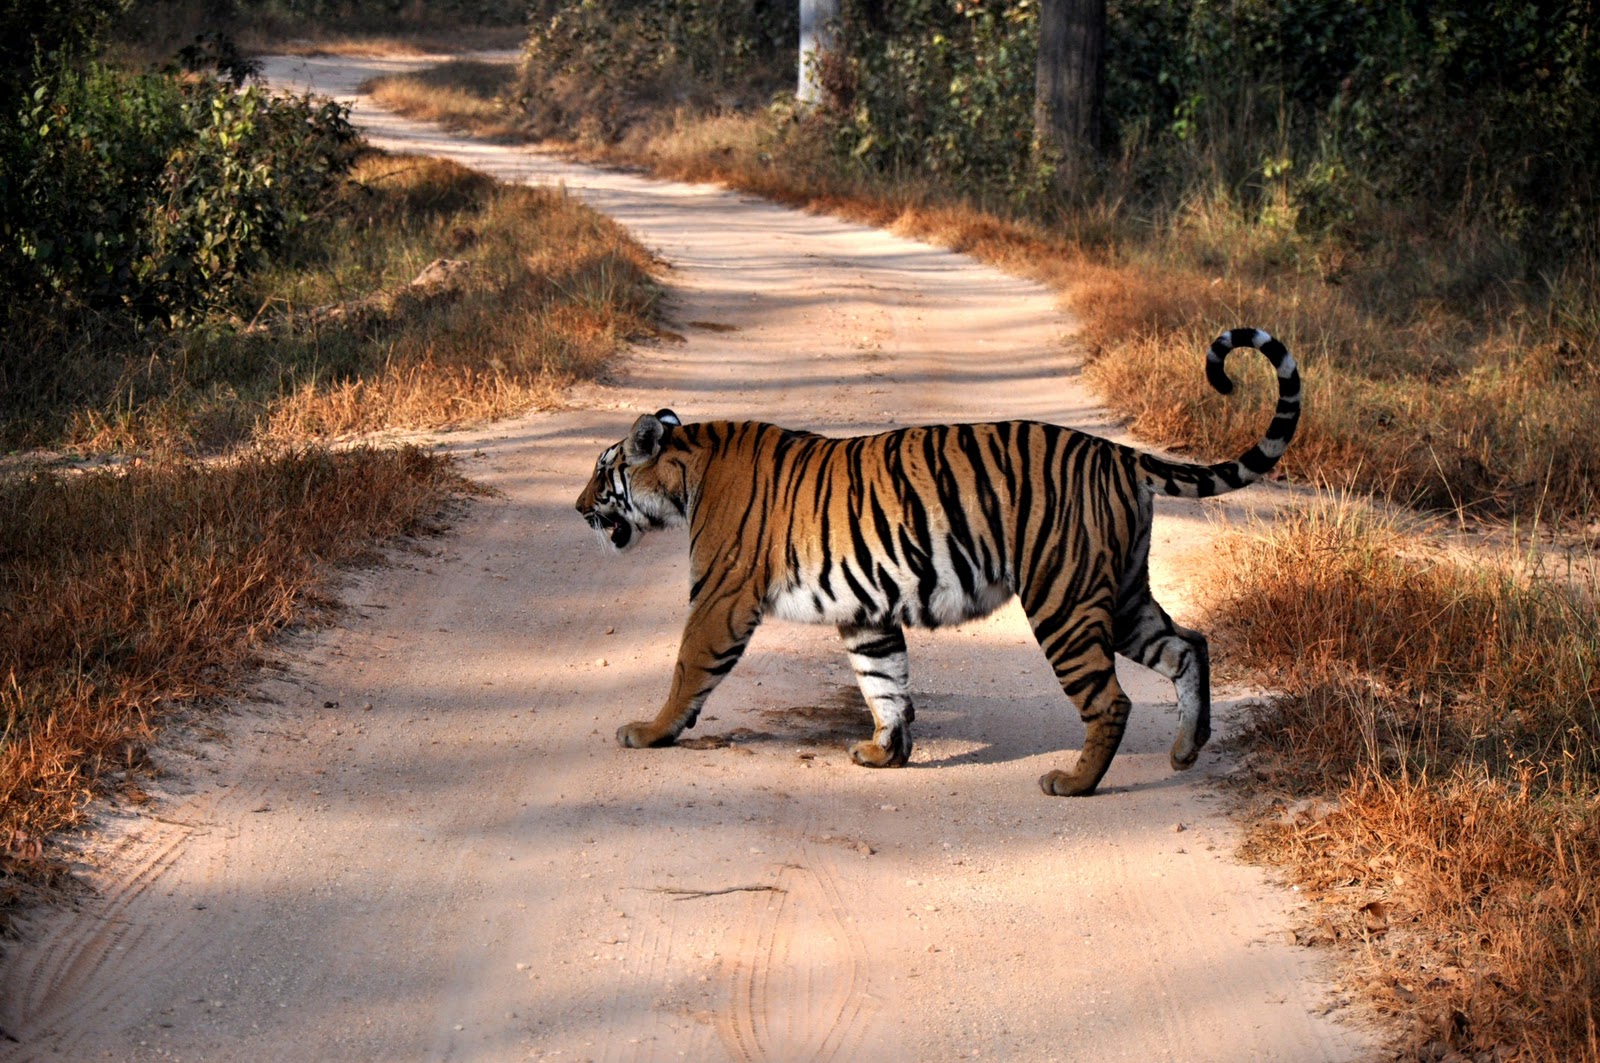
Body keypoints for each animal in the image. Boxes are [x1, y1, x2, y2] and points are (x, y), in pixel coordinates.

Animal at [575, 328, 1300, 796]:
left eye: (602, 473)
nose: (579, 509)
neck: (688, 466)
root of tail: (1115, 453)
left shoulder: (720, 598)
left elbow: (686, 671)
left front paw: (649, 731)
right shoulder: (864, 611)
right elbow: (884, 680)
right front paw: (884, 753)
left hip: (1062, 597)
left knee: (1112, 699)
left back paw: (1073, 782)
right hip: (1120, 593)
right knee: (1189, 645)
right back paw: (1185, 749)